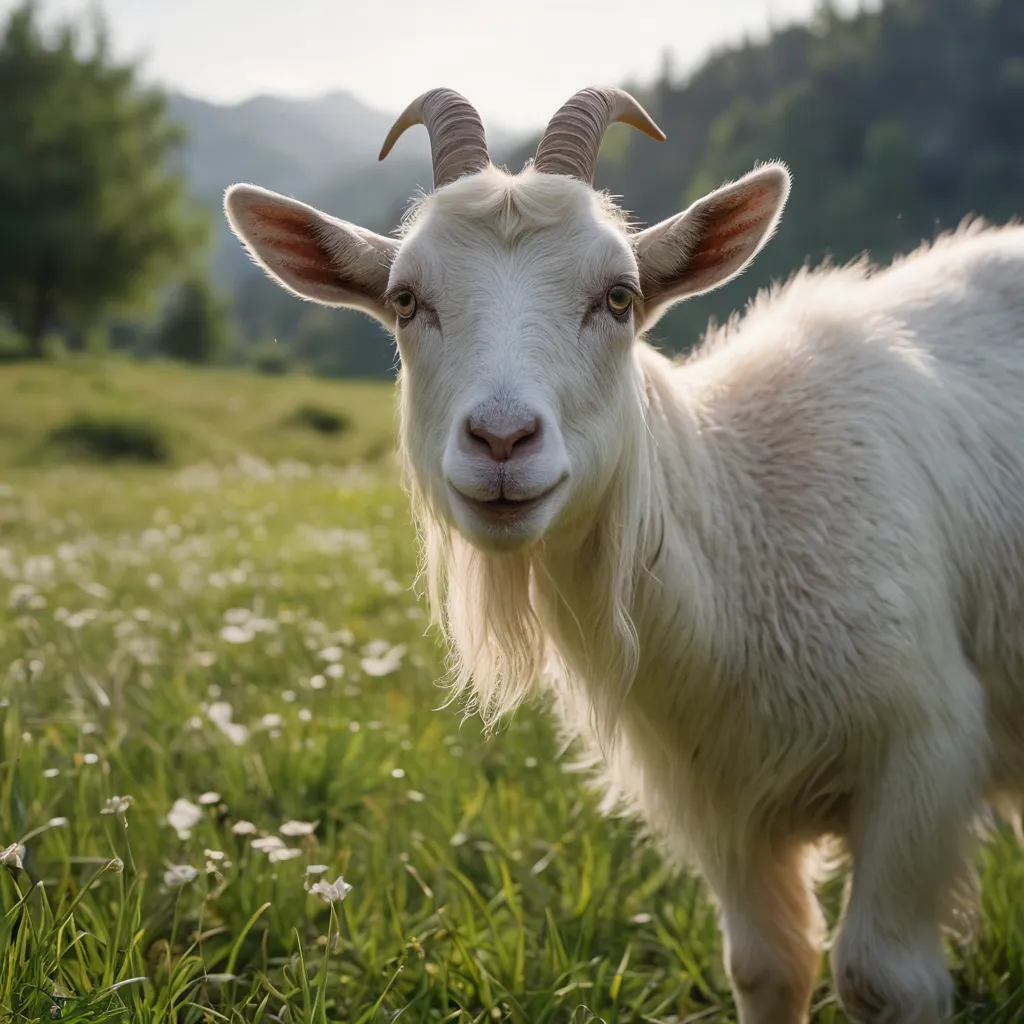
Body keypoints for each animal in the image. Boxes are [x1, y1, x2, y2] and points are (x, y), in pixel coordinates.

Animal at [223, 85, 1024, 1024]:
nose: (502, 439)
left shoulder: (926, 755)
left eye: (618, 296)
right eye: (406, 300)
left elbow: (880, 975)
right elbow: (767, 964)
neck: (747, 527)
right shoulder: (721, 803)